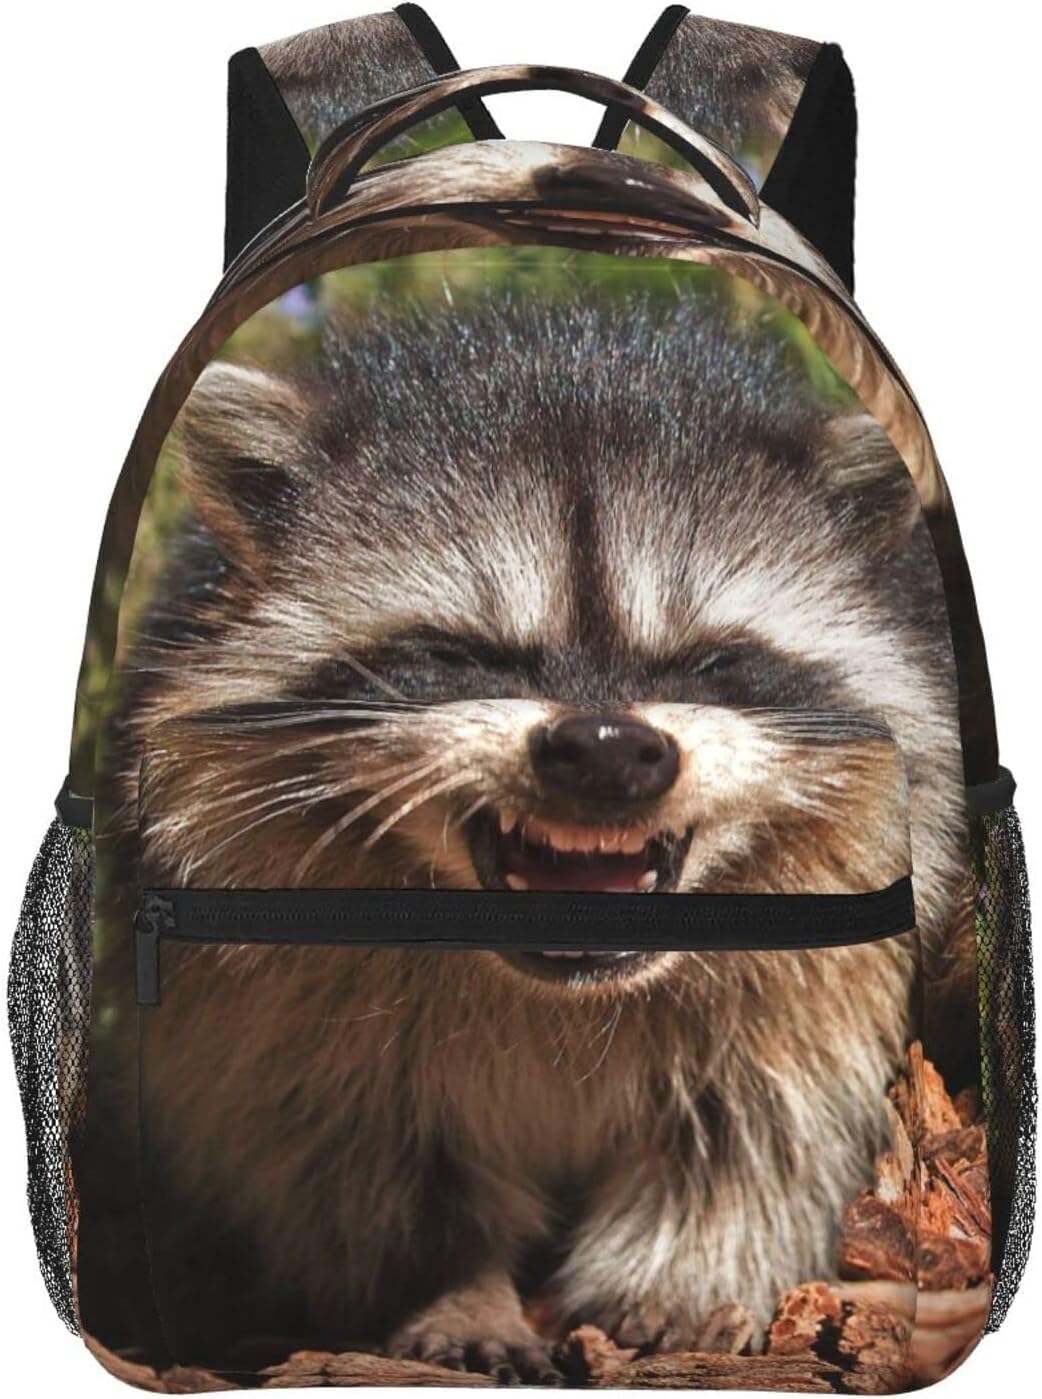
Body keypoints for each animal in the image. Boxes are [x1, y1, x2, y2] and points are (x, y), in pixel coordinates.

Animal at [118, 283, 970, 1376]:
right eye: (462, 654)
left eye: (709, 664)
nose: (607, 749)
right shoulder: (276, 994)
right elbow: (350, 1142)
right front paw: (455, 1285)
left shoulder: (826, 968)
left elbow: (766, 1132)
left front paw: (677, 1275)